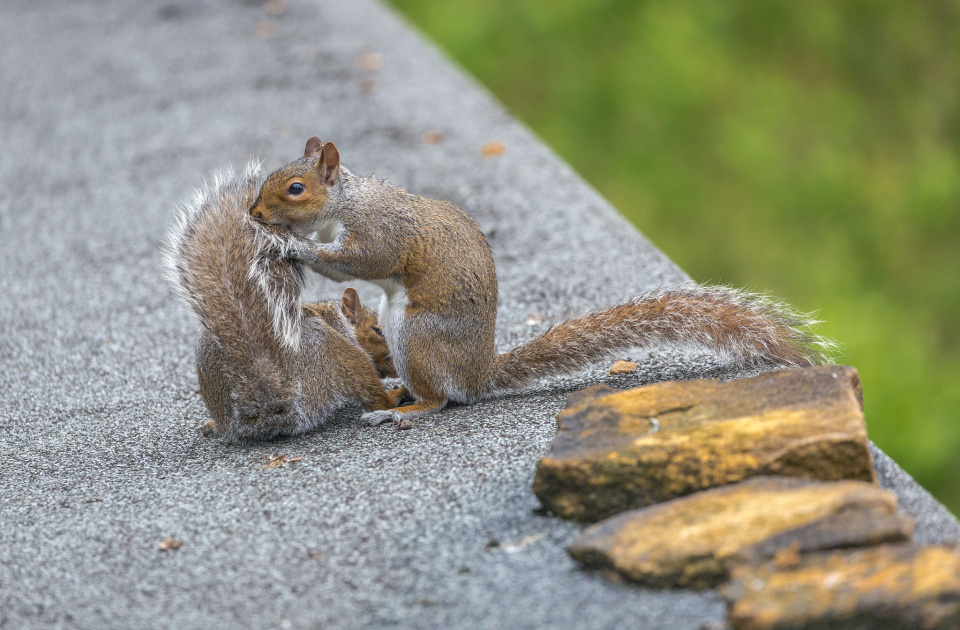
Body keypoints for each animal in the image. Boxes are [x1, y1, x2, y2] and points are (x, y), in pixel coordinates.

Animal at [164, 161, 405, 442]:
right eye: (377, 330)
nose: (396, 363)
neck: (337, 316)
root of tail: (269, 393)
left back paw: (213, 424)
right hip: (335, 352)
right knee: (375, 398)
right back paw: (395, 395)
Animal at [249, 137, 836, 427]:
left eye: (296, 188)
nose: (254, 213)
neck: (348, 201)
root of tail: (480, 373)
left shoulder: (380, 233)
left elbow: (364, 260)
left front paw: (292, 245)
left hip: (415, 334)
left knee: (441, 400)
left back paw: (403, 408)